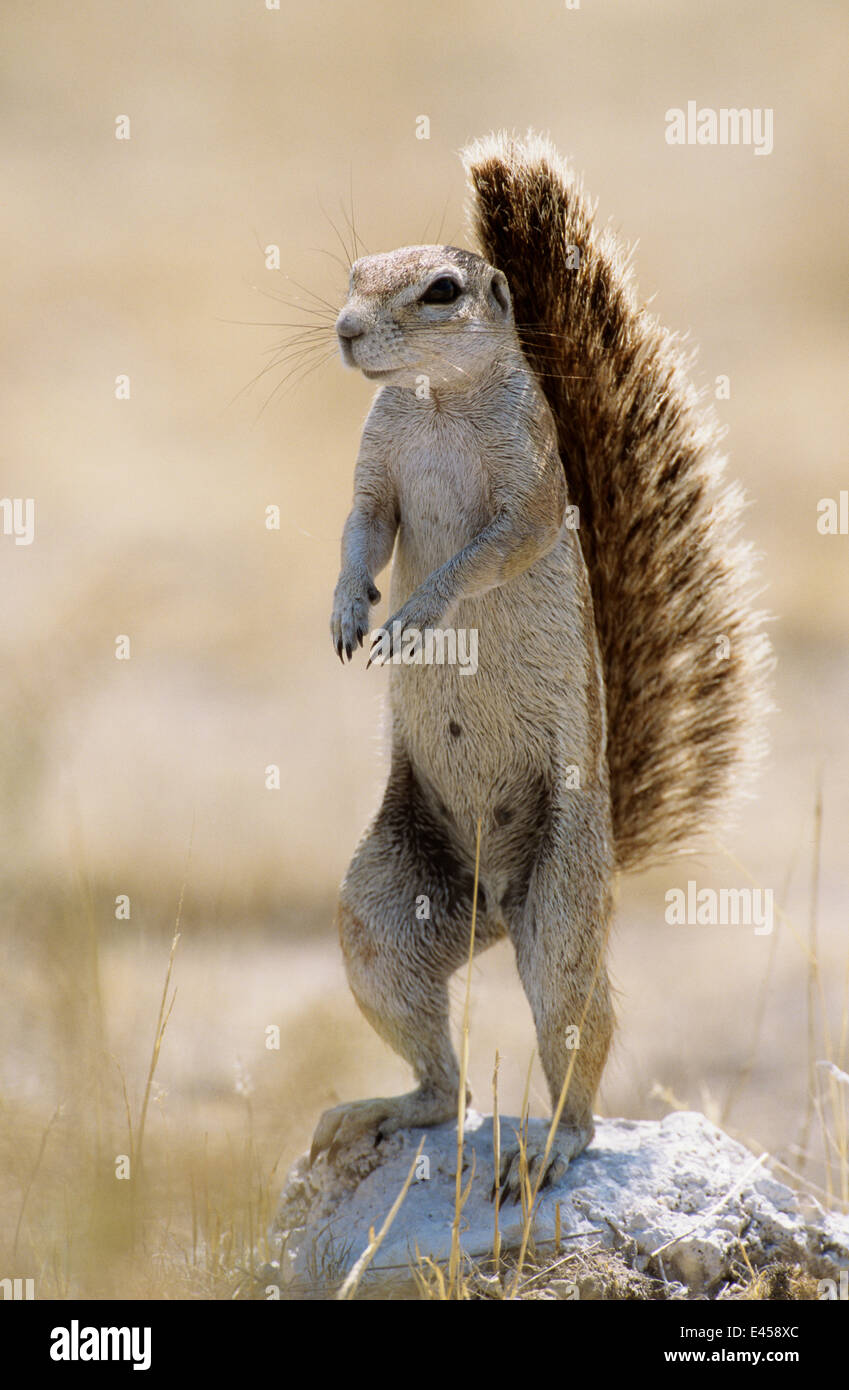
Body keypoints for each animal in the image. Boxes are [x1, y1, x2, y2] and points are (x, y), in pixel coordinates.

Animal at [309, 131, 771, 1196]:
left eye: (441, 289)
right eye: (353, 274)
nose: (346, 332)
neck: (435, 404)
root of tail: (493, 909)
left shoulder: (528, 484)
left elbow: (490, 552)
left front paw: (421, 611)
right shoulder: (372, 475)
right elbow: (360, 532)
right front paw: (349, 607)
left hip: (561, 912)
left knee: (574, 1041)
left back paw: (551, 1146)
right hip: (381, 914)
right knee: (444, 1084)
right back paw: (386, 1108)